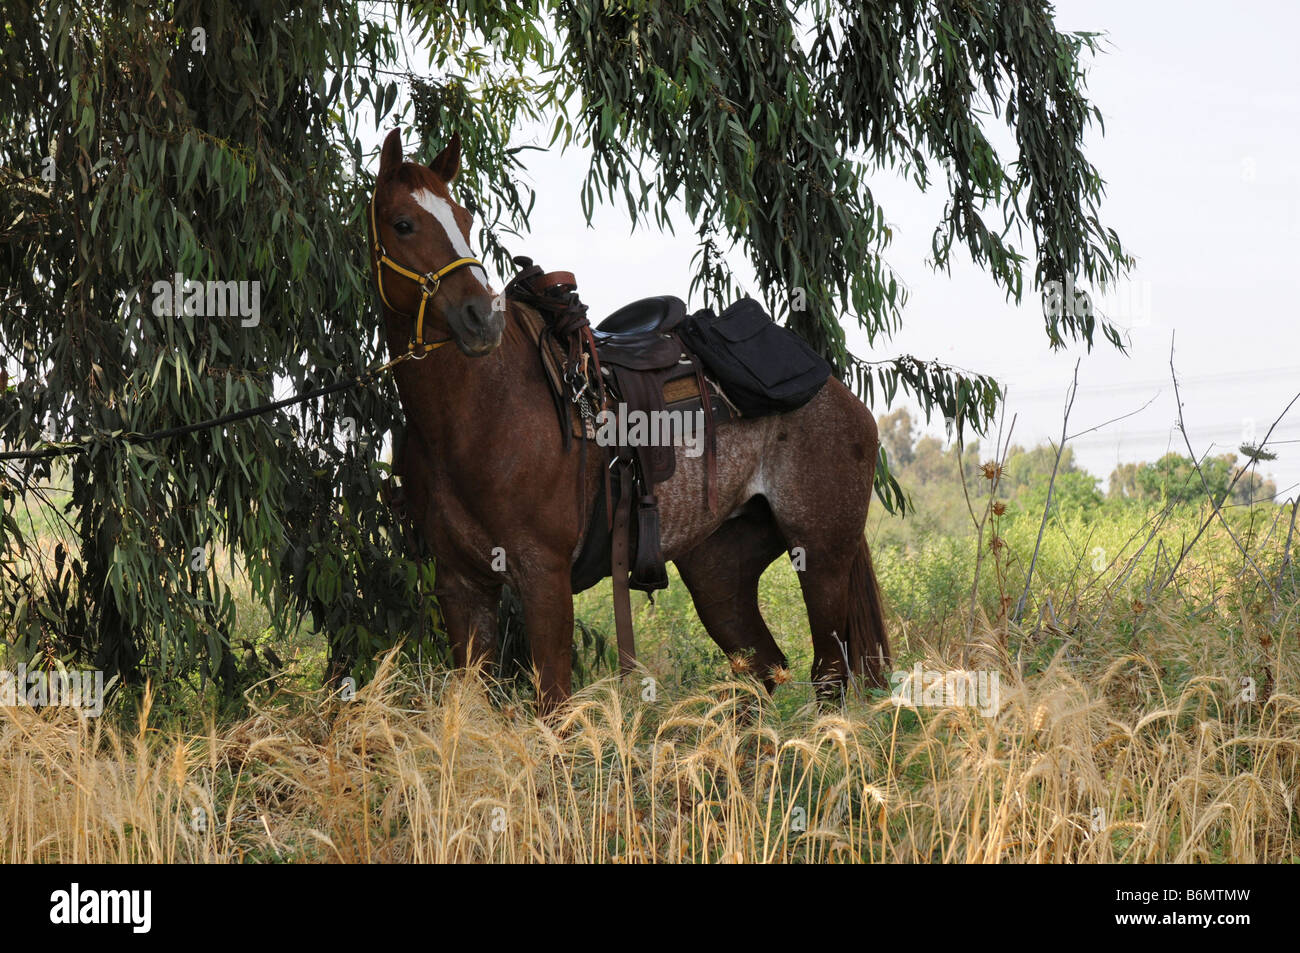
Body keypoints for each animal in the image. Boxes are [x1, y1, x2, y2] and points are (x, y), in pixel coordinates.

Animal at [368, 127, 890, 712]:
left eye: (464, 218)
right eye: (403, 223)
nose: (482, 319)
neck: (477, 415)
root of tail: (835, 390)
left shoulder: (543, 576)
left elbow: (553, 705)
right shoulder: (462, 586)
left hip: (821, 556)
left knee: (829, 675)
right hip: (718, 571)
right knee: (764, 669)